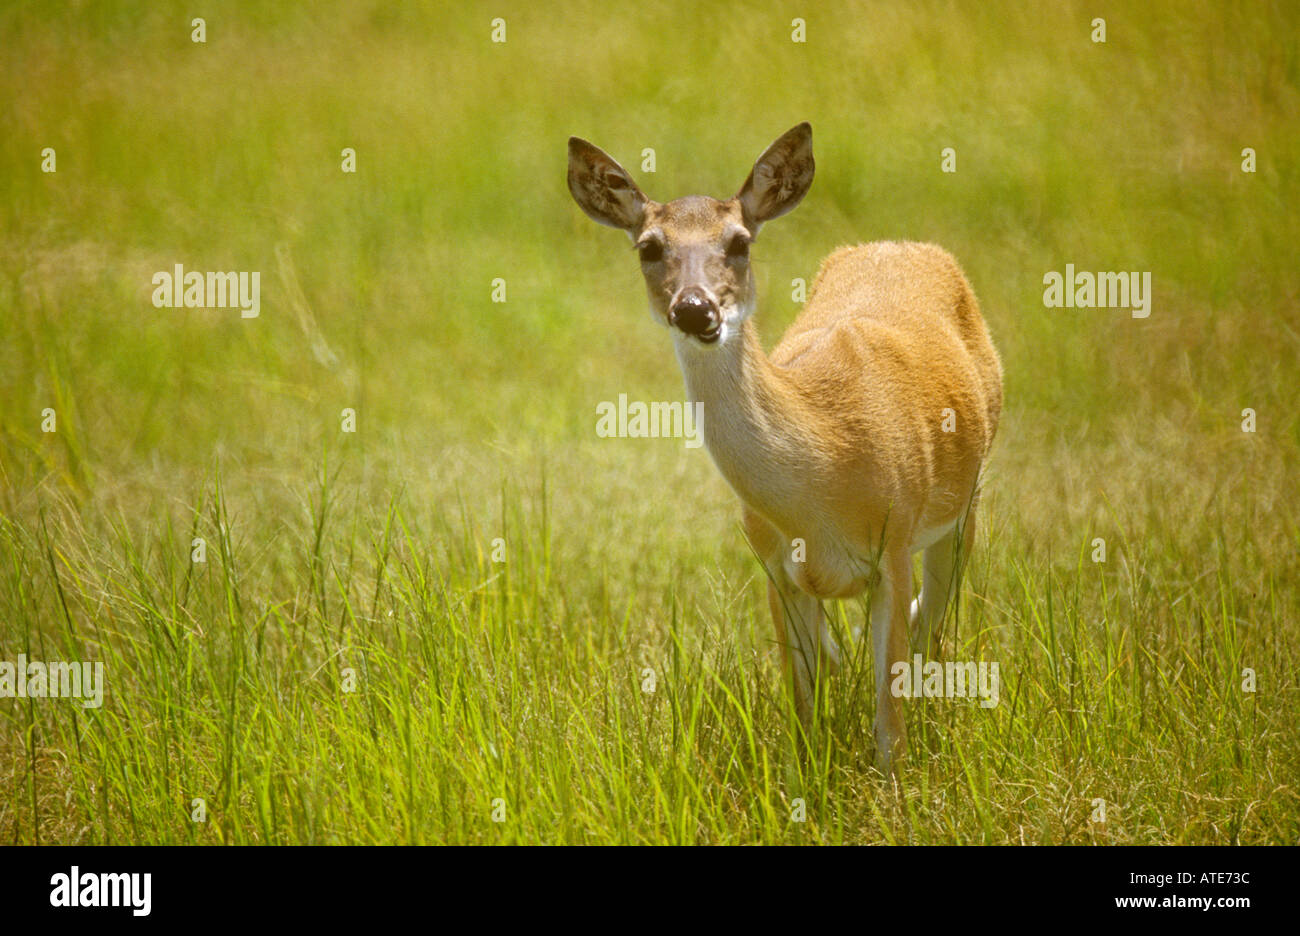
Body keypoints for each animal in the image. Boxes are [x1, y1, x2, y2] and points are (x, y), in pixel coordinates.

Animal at [567, 123, 1002, 771]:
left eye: (740, 241)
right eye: (647, 247)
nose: (694, 308)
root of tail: (900, 244)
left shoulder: (895, 542)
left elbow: (890, 717)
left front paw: (895, 784)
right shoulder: (774, 563)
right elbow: (803, 706)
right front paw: (804, 777)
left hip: (965, 504)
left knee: (934, 624)